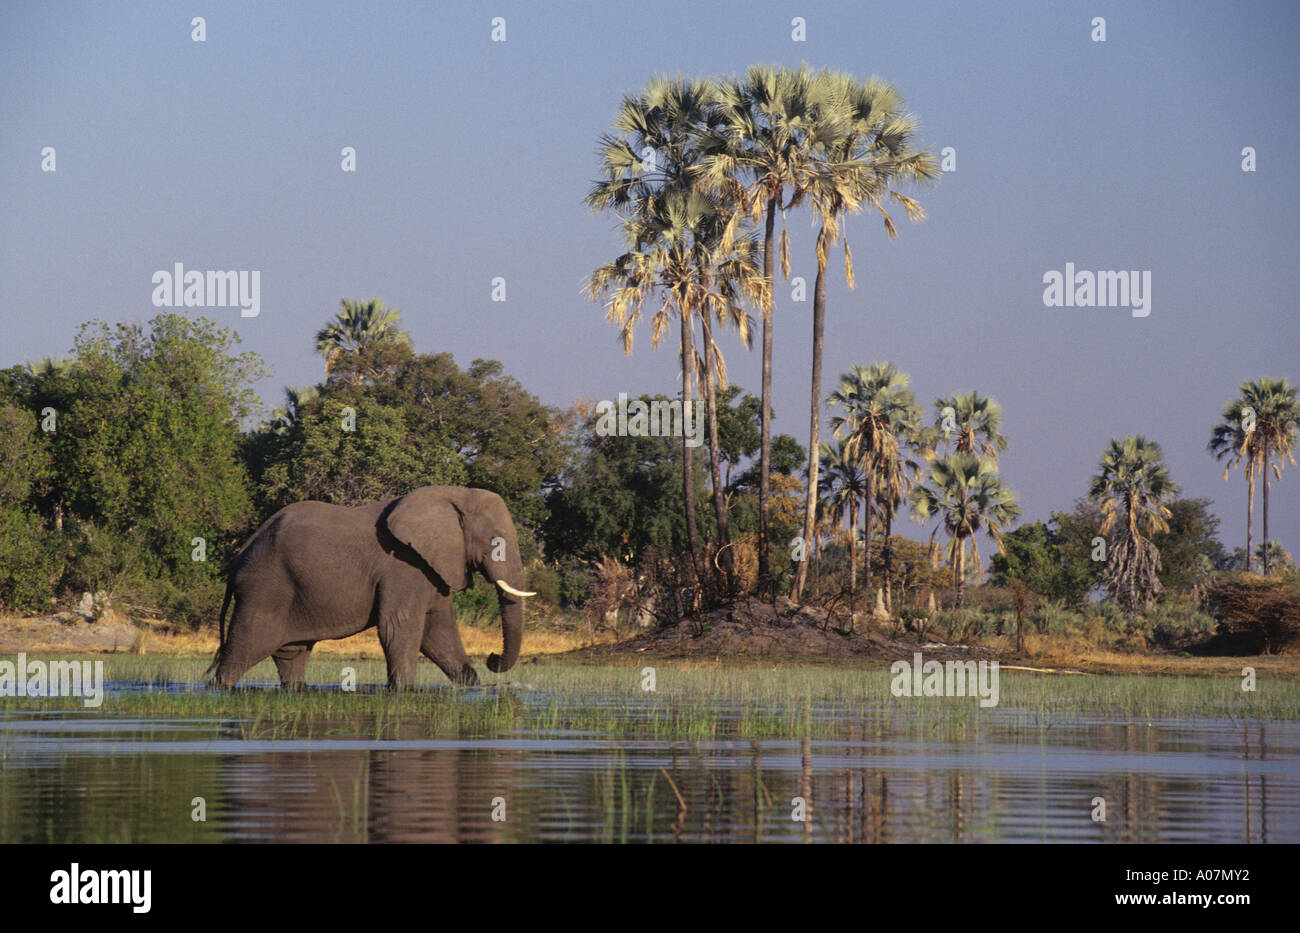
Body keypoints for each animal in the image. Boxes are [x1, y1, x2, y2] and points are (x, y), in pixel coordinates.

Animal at [208, 485, 535, 689]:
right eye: (496, 542)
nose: (492, 658)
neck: (454, 494)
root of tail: (238, 558)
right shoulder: (403, 566)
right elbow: (399, 627)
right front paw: (403, 690)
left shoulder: (430, 568)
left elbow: (439, 632)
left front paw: (473, 687)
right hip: (263, 590)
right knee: (242, 650)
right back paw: (218, 689)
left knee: (292, 655)